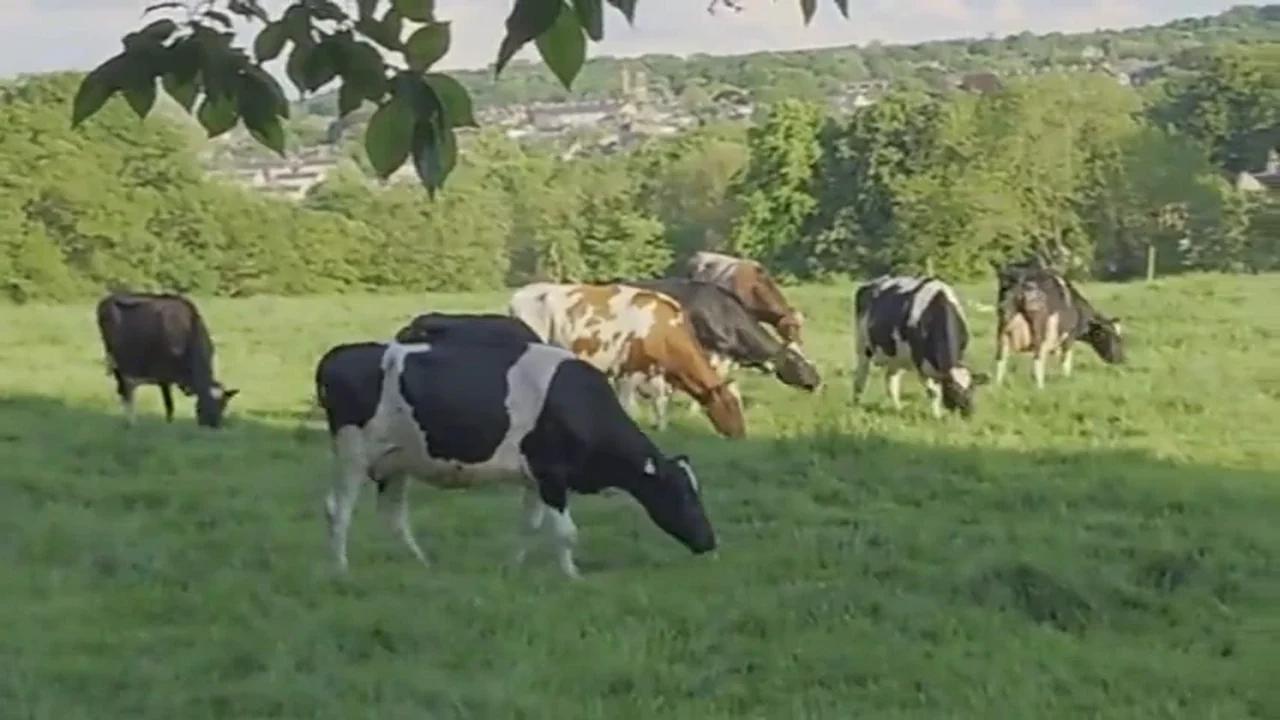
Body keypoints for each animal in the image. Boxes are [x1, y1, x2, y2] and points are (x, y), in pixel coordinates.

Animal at [95, 292, 238, 428]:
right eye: (207, 402)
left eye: (223, 405)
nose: (214, 426)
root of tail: (108, 299)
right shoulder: (163, 375)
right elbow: (169, 405)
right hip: (115, 360)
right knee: (125, 392)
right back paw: (130, 423)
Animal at [313, 338, 716, 578]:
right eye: (682, 495)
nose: (711, 542)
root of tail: (339, 354)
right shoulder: (552, 475)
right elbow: (566, 533)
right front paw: (572, 576)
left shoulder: (535, 479)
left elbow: (530, 526)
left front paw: (513, 568)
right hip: (353, 453)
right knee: (338, 509)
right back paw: (340, 569)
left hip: (395, 463)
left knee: (394, 518)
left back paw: (423, 564)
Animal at [508, 283, 746, 439]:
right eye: (731, 405)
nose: (741, 434)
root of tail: (520, 293)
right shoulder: (629, 372)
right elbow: (628, 408)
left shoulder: (655, 373)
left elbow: (660, 402)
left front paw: (661, 427)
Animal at [852, 276, 989, 418]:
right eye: (952, 388)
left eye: (972, 387)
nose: (969, 412)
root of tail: (873, 283)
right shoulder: (920, 364)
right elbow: (934, 393)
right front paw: (937, 416)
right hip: (862, 346)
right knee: (861, 377)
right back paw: (856, 404)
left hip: (897, 356)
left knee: (891, 380)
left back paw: (898, 409)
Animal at [993, 261, 1126, 389]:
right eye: (1107, 335)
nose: (1119, 359)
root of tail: (1021, 277)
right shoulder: (1069, 336)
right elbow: (1065, 359)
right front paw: (1067, 379)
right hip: (1038, 327)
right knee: (1038, 356)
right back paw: (1040, 387)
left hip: (1003, 322)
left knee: (1000, 356)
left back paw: (997, 386)